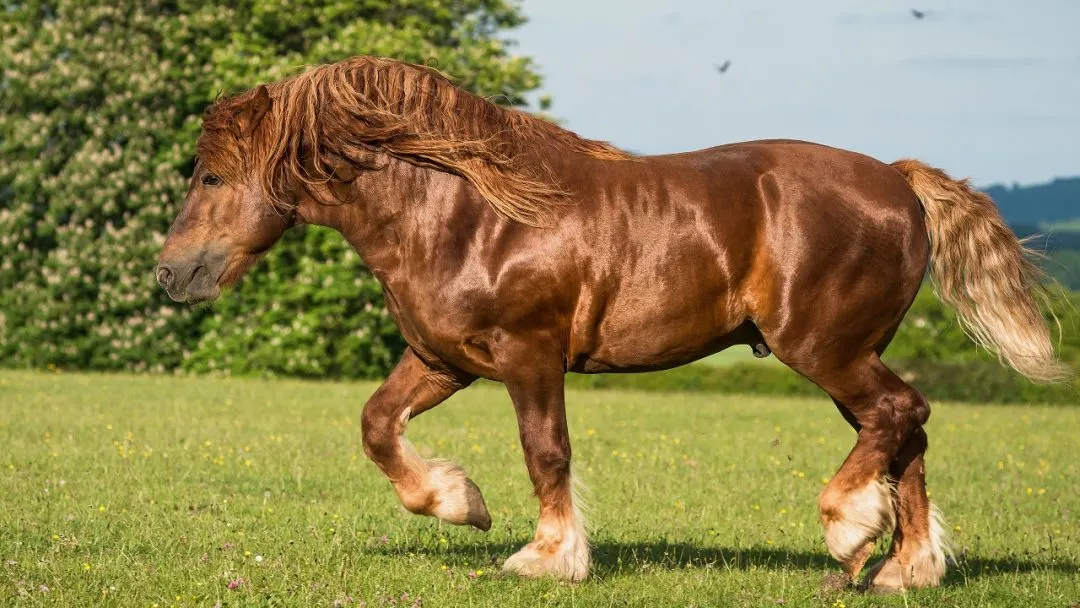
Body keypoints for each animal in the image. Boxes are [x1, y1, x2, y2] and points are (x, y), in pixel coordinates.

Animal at [156, 56, 1066, 591]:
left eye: (210, 176)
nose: (171, 274)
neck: (465, 211)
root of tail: (898, 180)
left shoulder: (529, 354)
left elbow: (546, 451)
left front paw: (546, 556)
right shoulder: (443, 359)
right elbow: (378, 425)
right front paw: (459, 503)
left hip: (825, 348)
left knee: (901, 415)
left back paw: (850, 534)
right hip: (850, 353)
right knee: (904, 432)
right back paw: (903, 569)